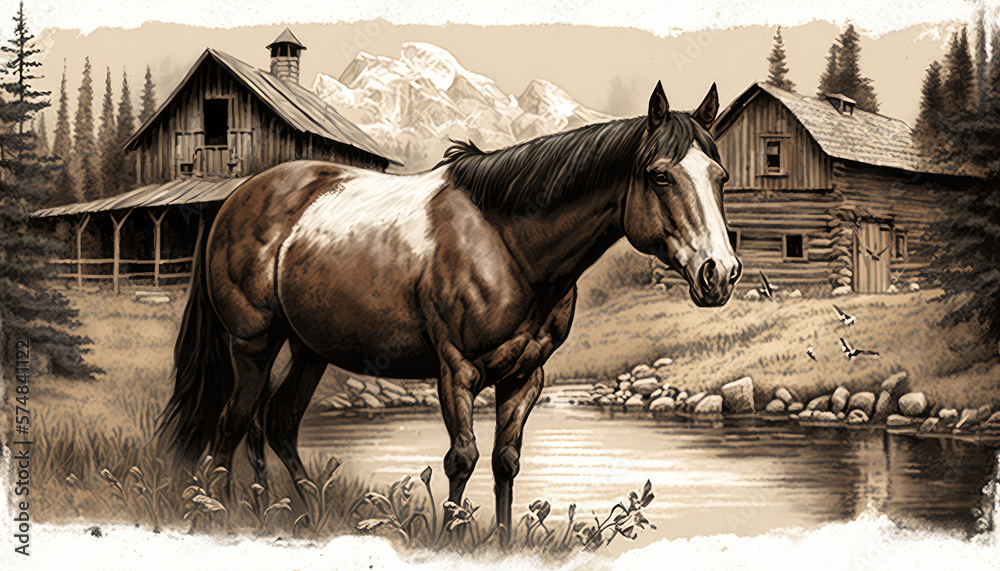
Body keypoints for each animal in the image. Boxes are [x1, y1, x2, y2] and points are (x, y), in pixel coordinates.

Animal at [157, 81, 742, 542]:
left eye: (720, 176)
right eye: (660, 175)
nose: (719, 272)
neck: (506, 240)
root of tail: (238, 198)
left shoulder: (526, 375)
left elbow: (506, 462)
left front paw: (502, 545)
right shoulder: (456, 369)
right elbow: (462, 458)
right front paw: (450, 540)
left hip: (307, 348)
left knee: (274, 424)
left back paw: (293, 515)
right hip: (253, 344)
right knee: (233, 424)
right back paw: (225, 516)